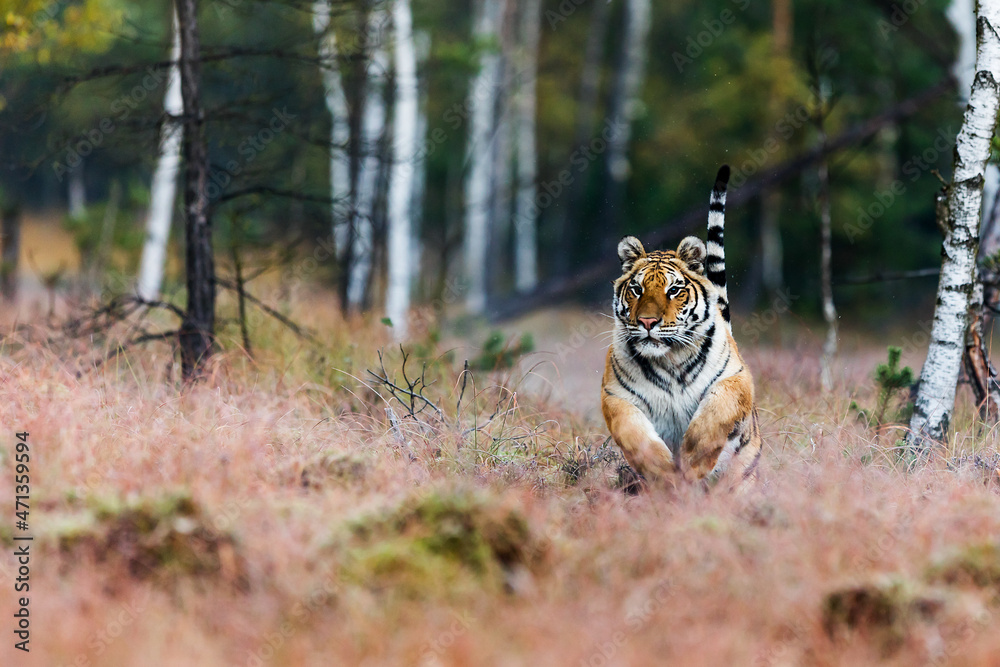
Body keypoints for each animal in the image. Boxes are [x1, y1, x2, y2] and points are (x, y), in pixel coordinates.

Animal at [600, 165, 761, 491]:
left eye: (673, 290)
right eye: (636, 289)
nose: (647, 322)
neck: (669, 359)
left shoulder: (735, 379)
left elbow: (716, 411)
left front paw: (693, 464)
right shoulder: (615, 396)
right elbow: (634, 433)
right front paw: (665, 474)